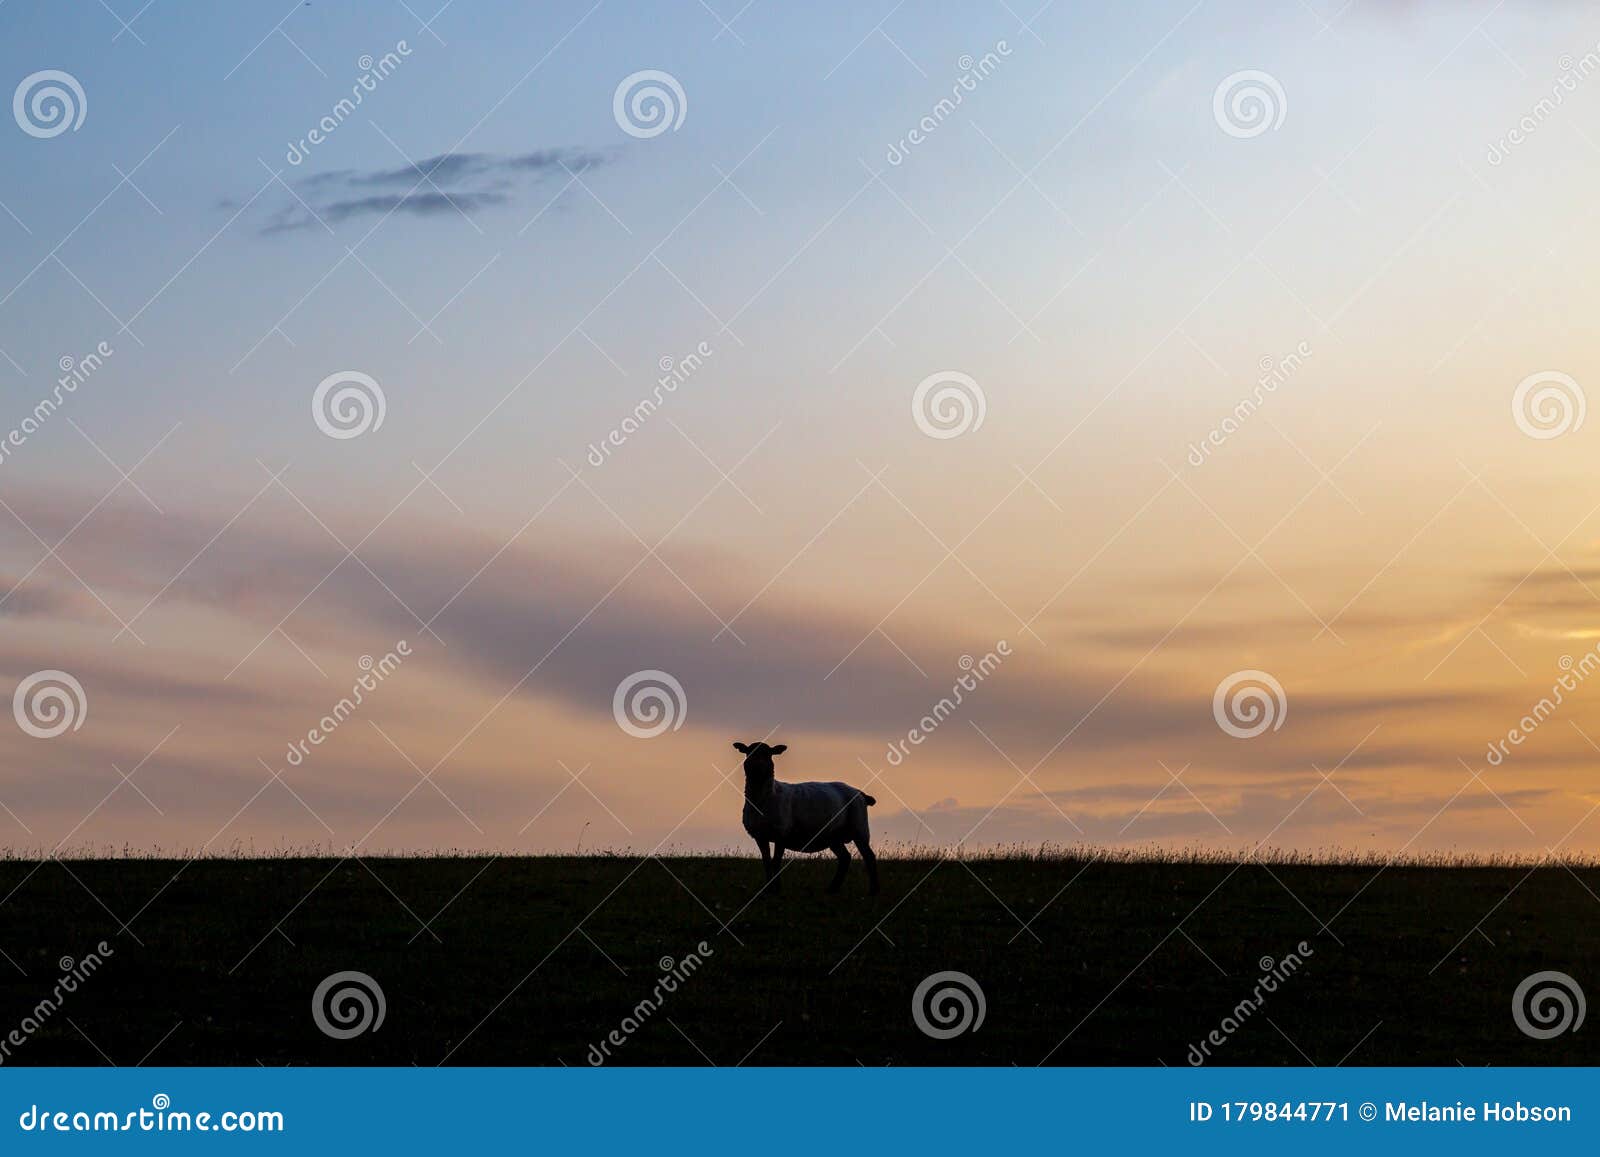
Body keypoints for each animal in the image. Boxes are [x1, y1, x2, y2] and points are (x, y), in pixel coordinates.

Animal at [733, 741, 878, 894]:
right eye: (748, 752)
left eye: (768, 754)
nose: (756, 766)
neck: (765, 798)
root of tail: (860, 793)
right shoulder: (760, 835)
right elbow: (766, 862)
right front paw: (768, 890)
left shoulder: (782, 833)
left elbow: (776, 862)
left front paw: (777, 890)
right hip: (833, 836)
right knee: (845, 858)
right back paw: (832, 889)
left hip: (860, 827)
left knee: (869, 857)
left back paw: (873, 891)